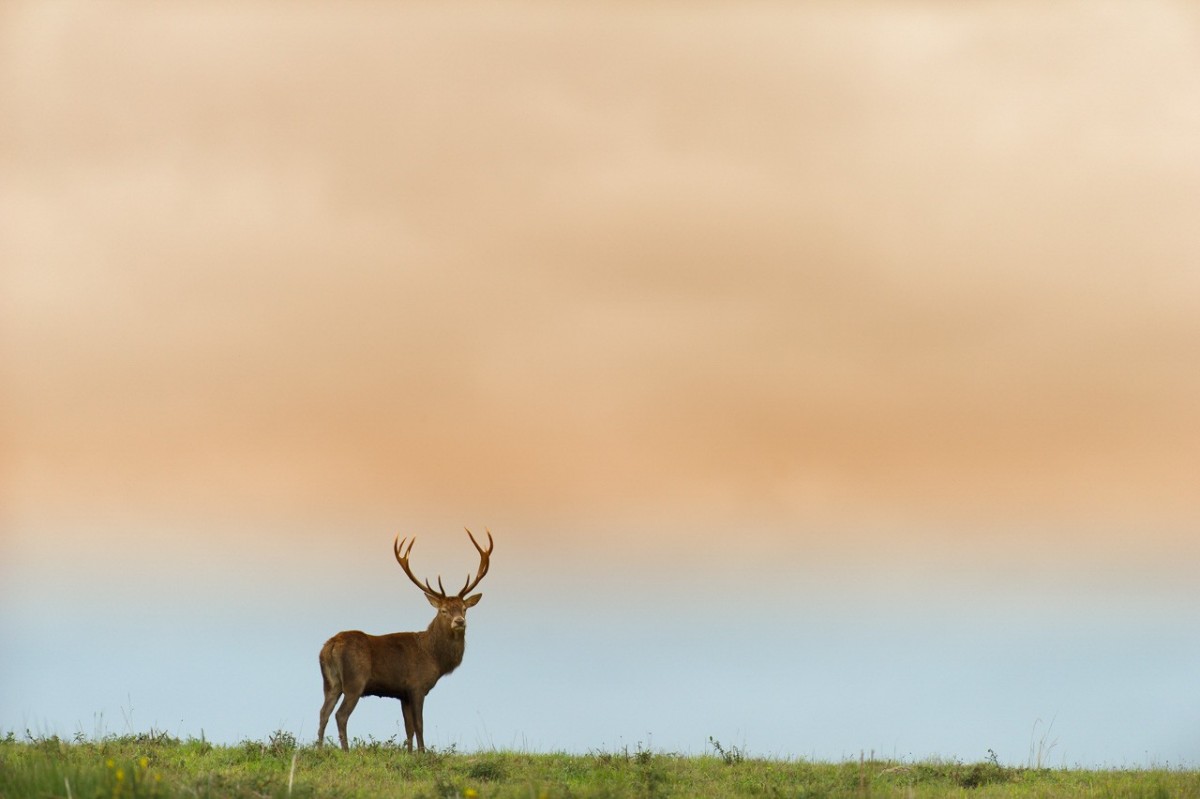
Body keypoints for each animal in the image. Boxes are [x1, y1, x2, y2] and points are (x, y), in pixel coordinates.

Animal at [317, 528, 493, 753]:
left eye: (464, 609)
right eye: (443, 610)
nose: (459, 621)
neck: (434, 657)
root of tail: (330, 645)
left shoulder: (402, 693)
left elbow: (408, 727)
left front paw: (409, 754)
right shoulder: (416, 685)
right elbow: (419, 724)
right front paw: (423, 753)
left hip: (330, 682)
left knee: (323, 712)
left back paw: (319, 749)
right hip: (355, 680)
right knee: (340, 715)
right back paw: (346, 752)